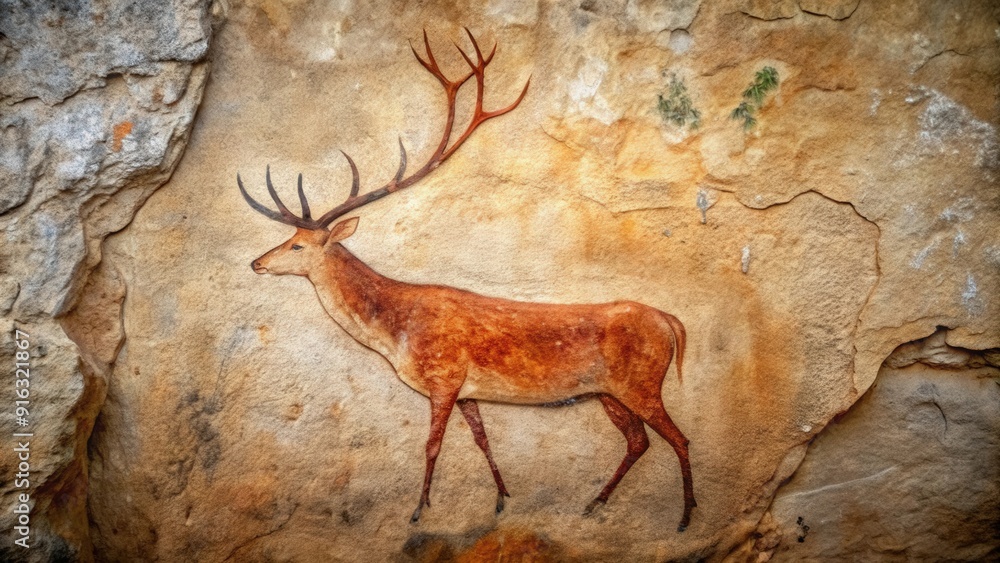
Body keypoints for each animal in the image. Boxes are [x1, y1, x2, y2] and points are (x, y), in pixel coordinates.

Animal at [237, 29, 696, 532]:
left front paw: (419, 509)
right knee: (639, 441)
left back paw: (685, 516)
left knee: (680, 438)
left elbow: (432, 445)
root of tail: (671, 320)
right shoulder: (467, 393)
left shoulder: (443, 378)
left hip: (641, 383)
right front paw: (501, 498)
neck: (395, 334)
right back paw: (595, 503)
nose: (256, 263)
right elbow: (482, 440)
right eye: (287, 238)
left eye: (299, 246)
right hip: (607, 393)